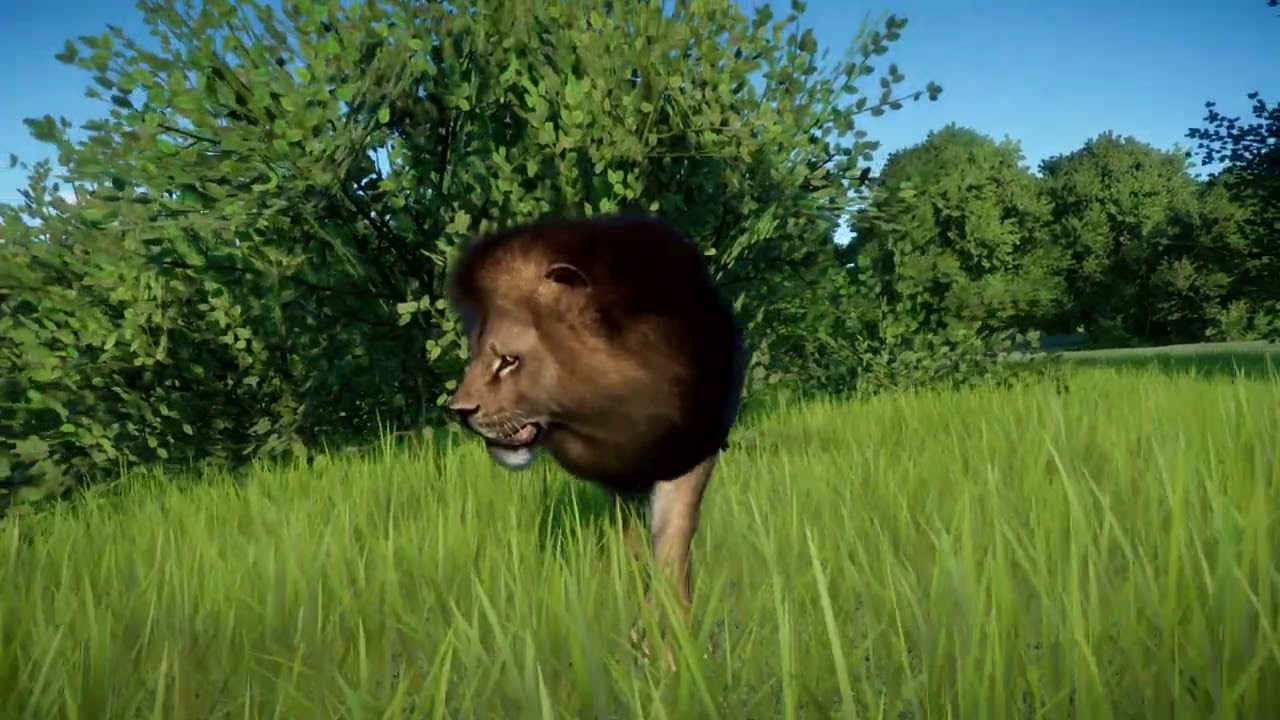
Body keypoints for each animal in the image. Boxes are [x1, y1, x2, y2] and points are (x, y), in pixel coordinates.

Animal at [446, 212, 748, 664]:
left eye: (509, 361)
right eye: (477, 356)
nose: (461, 412)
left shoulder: (693, 452)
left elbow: (672, 545)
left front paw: (673, 647)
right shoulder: (616, 482)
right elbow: (634, 547)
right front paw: (640, 629)